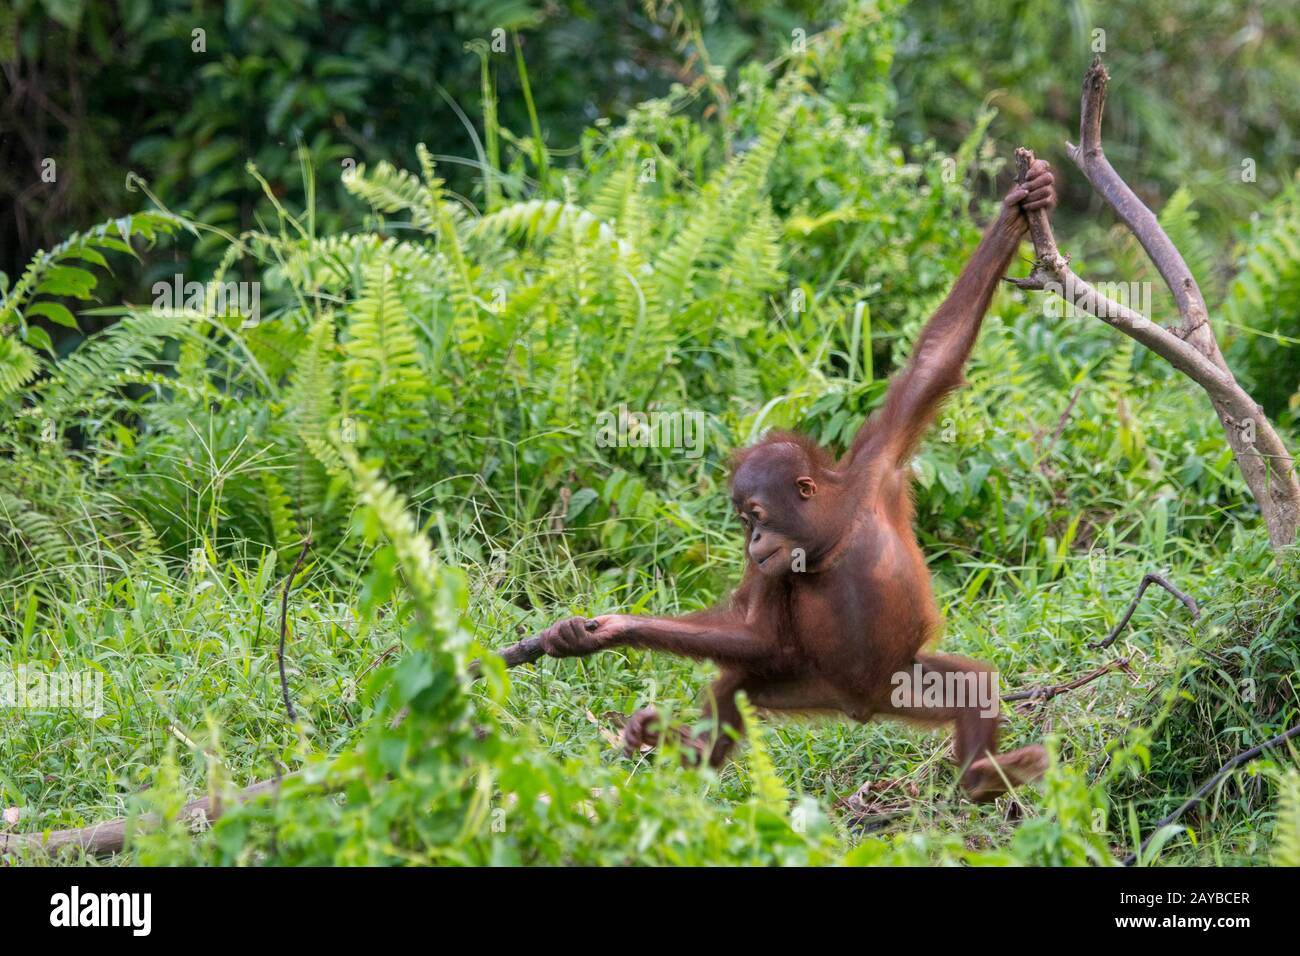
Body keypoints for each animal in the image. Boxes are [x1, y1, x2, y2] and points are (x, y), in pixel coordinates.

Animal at [537, 159, 1058, 801]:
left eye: (755, 516)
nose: (755, 541)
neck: (833, 534)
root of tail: (862, 705)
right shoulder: (771, 574)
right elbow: (755, 634)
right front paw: (601, 631)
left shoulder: (876, 463)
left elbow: (936, 357)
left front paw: (1020, 205)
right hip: (810, 681)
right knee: (736, 684)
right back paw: (683, 749)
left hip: (906, 679)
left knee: (975, 684)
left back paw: (985, 777)